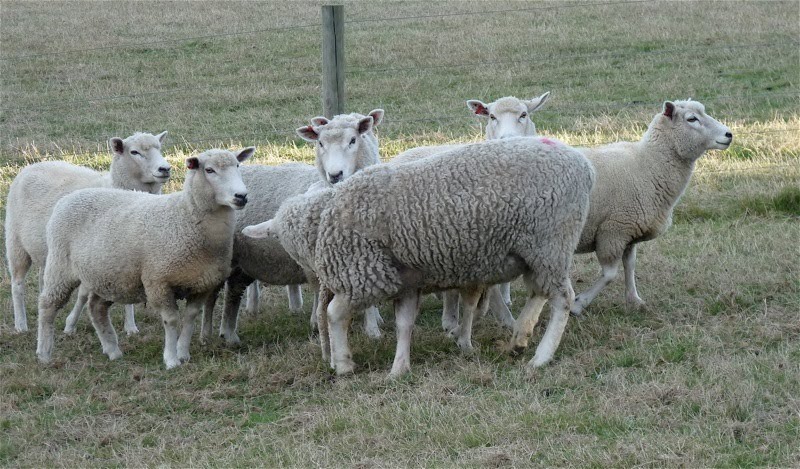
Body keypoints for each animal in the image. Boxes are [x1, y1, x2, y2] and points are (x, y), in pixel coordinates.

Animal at [5, 131, 170, 334]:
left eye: (159, 148)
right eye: (134, 152)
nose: (165, 168)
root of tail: (32, 166)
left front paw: (130, 327)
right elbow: (86, 294)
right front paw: (71, 325)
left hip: (49, 252)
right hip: (15, 242)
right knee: (17, 284)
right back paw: (21, 324)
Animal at [36, 147, 254, 369]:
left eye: (238, 165)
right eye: (209, 170)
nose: (241, 196)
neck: (185, 216)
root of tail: (69, 198)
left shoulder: (202, 284)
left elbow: (190, 318)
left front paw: (183, 353)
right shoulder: (158, 281)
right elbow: (171, 320)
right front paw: (171, 359)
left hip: (107, 276)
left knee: (96, 308)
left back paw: (112, 350)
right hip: (60, 266)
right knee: (47, 305)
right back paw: (44, 353)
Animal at [244, 136, 595, 377]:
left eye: (291, 245)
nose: (314, 279)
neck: (326, 217)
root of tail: (583, 165)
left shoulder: (367, 275)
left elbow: (334, 314)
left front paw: (343, 363)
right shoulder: (405, 279)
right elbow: (404, 325)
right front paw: (399, 368)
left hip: (550, 241)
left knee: (562, 297)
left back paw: (541, 356)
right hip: (534, 250)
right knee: (540, 291)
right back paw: (520, 337)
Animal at [570, 100, 733, 315]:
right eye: (691, 119)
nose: (729, 134)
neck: (648, 164)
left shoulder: (629, 232)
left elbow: (630, 265)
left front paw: (634, 300)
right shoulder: (613, 230)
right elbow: (609, 274)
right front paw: (578, 304)